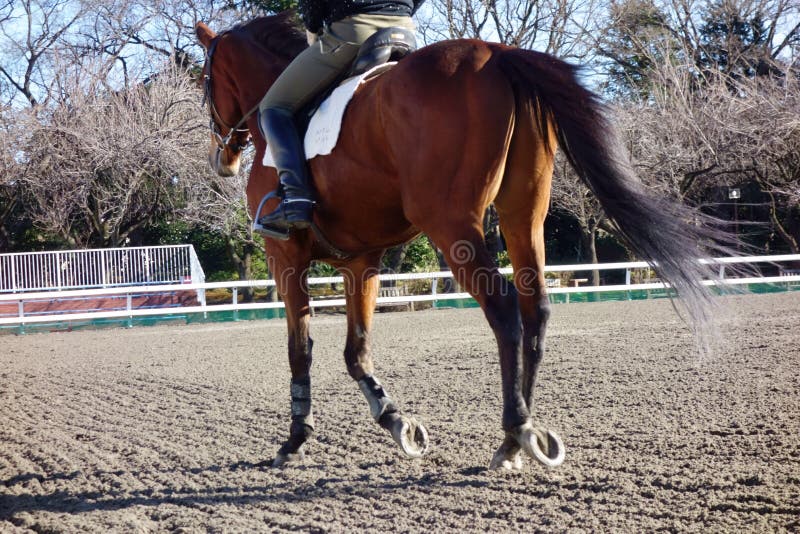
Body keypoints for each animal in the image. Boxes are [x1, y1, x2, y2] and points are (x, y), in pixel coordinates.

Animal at [194, 11, 731, 470]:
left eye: (203, 81)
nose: (223, 159)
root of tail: (497, 51)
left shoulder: (285, 254)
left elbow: (300, 347)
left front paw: (295, 439)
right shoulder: (361, 261)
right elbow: (356, 350)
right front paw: (397, 423)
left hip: (452, 224)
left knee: (503, 308)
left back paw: (517, 432)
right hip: (522, 215)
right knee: (535, 308)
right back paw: (516, 440)